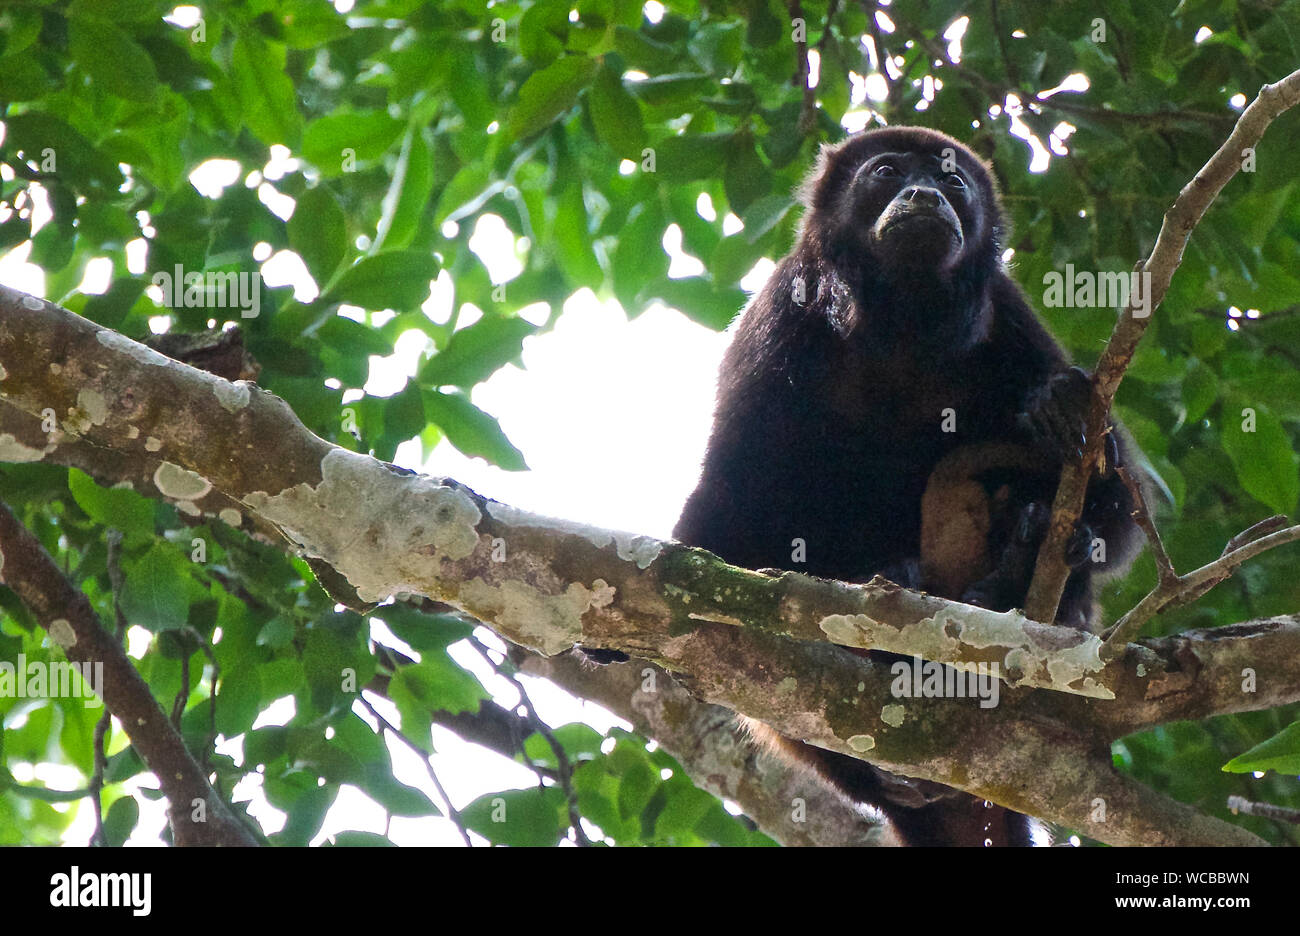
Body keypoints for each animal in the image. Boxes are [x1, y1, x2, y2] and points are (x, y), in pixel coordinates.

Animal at [672, 126, 1144, 846]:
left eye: (953, 181)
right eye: (887, 171)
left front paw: (1061, 414)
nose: (924, 194)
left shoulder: (1008, 314)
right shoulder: (781, 316)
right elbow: (734, 499)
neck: (901, 325)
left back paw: (1019, 564)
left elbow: (1118, 514)